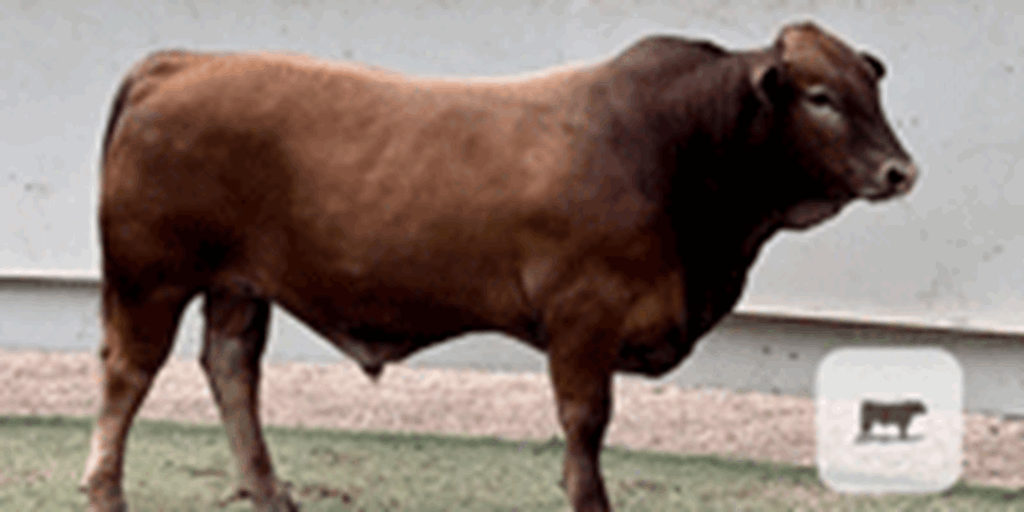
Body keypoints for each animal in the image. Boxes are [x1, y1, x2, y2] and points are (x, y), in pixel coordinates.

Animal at [80, 21, 917, 512]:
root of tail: (180, 63)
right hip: (152, 277)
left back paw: (269, 490)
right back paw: (106, 489)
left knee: (231, 369)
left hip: (238, 285)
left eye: (870, 87)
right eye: (820, 96)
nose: (900, 171)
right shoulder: (584, 320)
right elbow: (585, 425)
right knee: (128, 375)